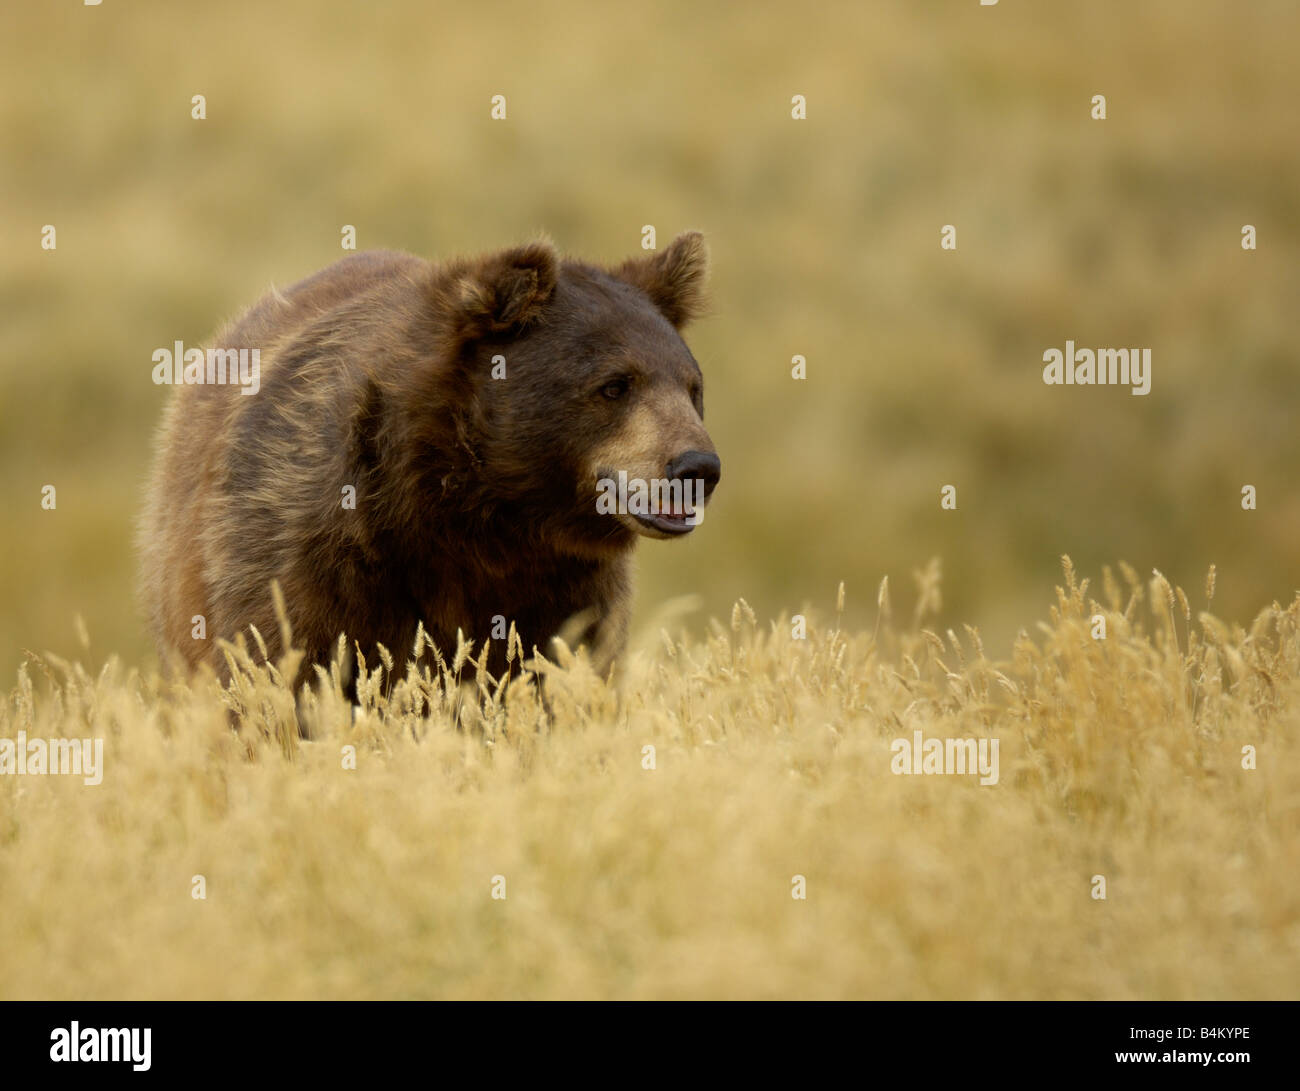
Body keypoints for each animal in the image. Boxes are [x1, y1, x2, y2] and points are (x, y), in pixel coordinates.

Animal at [138, 232, 720, 700]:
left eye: (692, 386)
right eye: (615, 385)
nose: (697, 466)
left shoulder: (564, 586)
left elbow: (552, 671)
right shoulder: (307, 543)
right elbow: (287, 661)